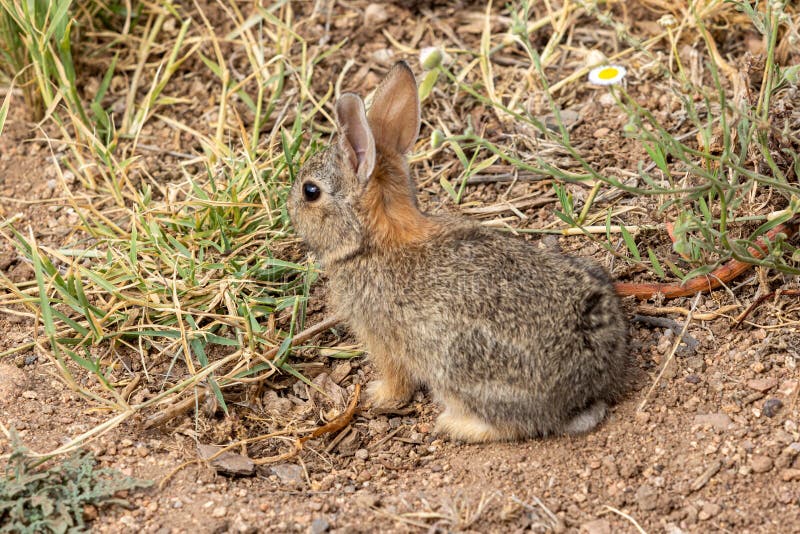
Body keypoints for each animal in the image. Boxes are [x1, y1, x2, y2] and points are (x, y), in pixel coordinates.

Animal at [288, 61, 632, 443]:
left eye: (310, 191)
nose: (290, 208)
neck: (374, 241)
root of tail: (584, 386)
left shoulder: (383, 339)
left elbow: (397, 379)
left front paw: (379, 396)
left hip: (457, 366)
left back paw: (452, 424)